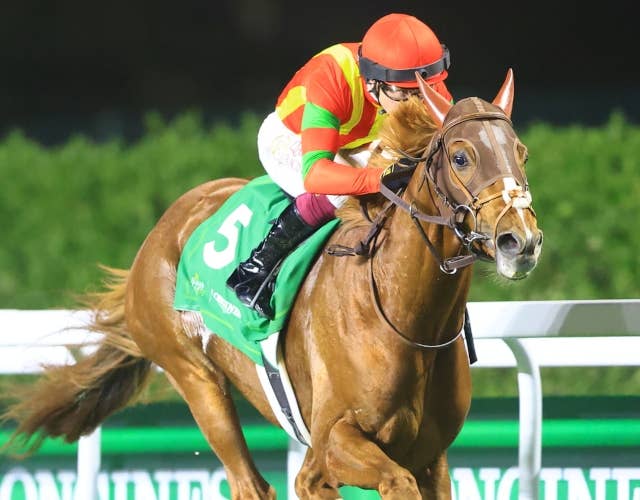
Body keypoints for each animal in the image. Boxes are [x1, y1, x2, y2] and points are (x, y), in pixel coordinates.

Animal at [2, 69, 542, 499]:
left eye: (522, 153)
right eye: (461, 156)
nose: (520, 239)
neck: (403, 314)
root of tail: (162, 229)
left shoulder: (431, 460)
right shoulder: (329, 451)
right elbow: (374, 479)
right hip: (195, 377)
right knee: (248, 482)